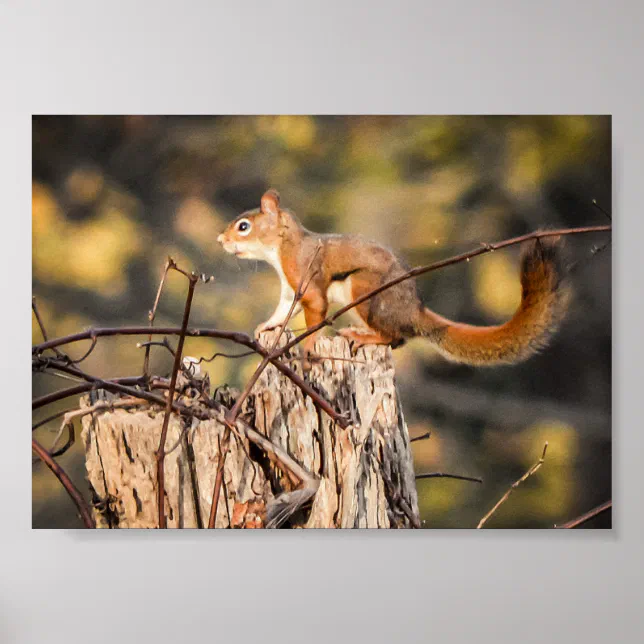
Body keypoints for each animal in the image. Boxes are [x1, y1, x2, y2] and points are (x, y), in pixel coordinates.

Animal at [217, 189, 570, 365]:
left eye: (244, 226)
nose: (220, 240)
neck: (283, 246)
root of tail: (414, 311)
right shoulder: (290, 291)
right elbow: (281, 312)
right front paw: (267, 327)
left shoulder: (306, 275)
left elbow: (315, 313)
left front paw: (309, 344)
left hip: (365, 292)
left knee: (395, 338)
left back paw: (363, 336)